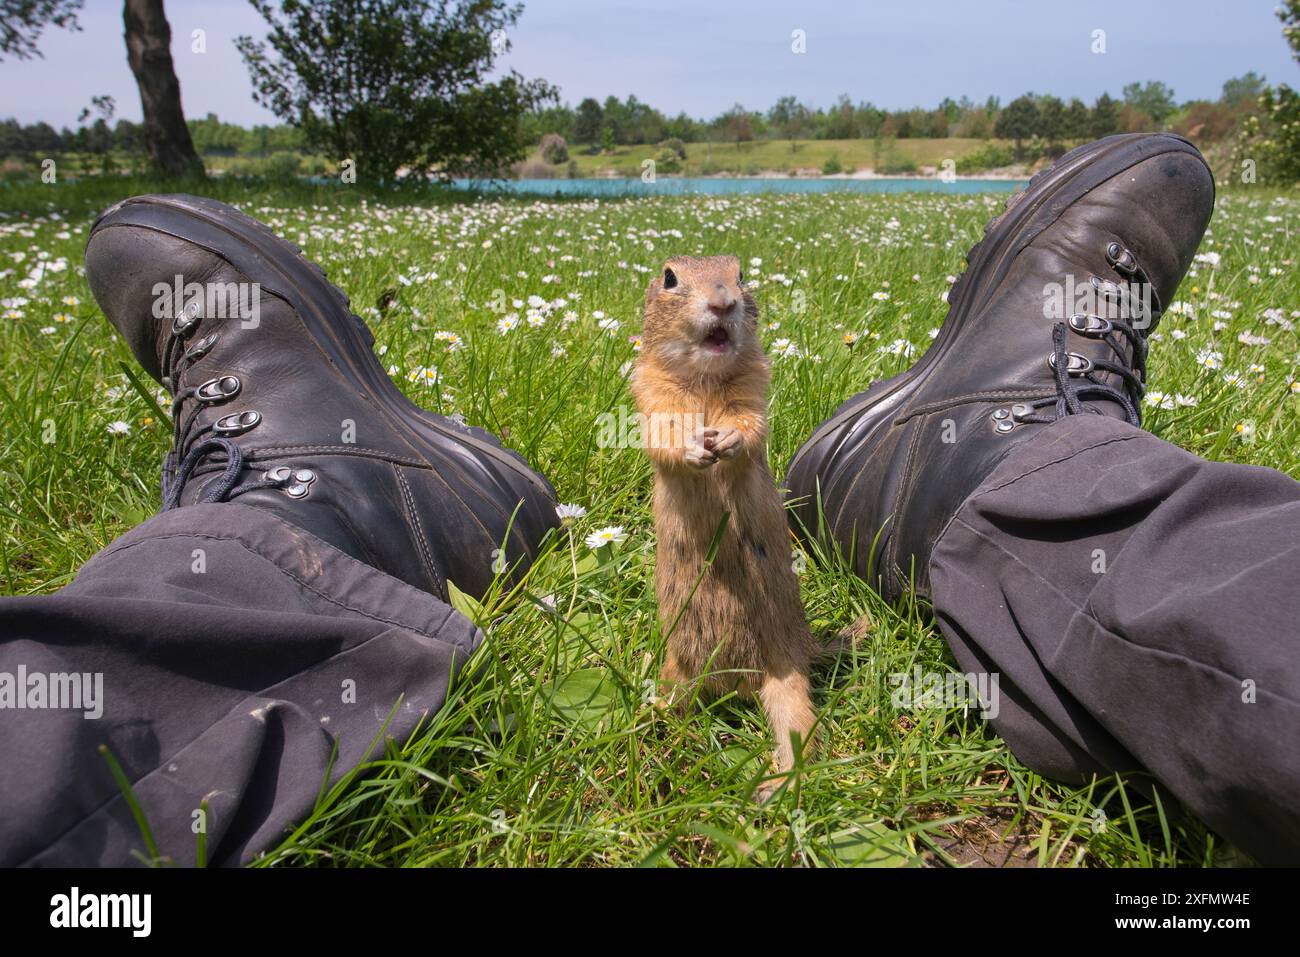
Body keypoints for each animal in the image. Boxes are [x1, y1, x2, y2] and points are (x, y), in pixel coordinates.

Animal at [631, 254, 819, 797]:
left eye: (741, 275)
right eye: (670, 277)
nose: (723, 302)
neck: (706, 378)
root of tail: (736, 684)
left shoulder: (754, 386)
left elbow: (751, 424)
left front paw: (728, 439)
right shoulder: (651, 390)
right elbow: (664, 433)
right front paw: (697, 447)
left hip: (788, 682)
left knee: (802, 734)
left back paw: (771, 788)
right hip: (679, 668)